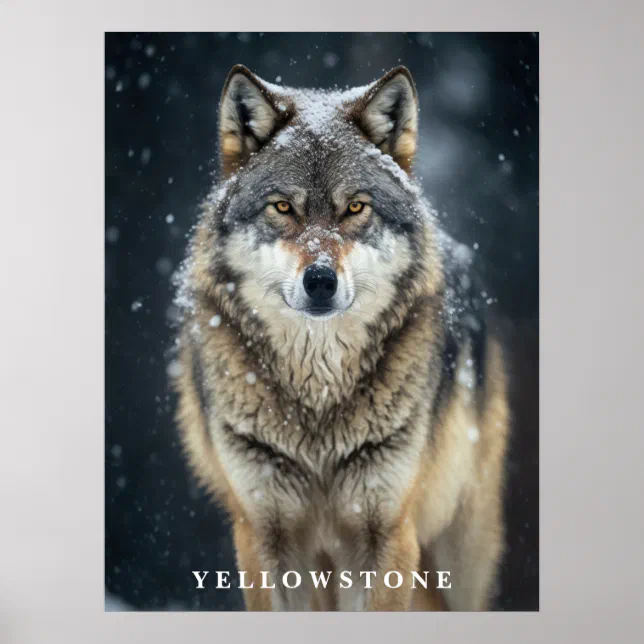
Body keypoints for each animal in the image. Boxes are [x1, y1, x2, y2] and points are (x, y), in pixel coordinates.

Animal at [171, 64, 510, 611]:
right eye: (282, 207)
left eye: (354, 207)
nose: (320, 281)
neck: (318, 400)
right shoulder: (262, 534)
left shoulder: (387, 533)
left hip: (459, 555)